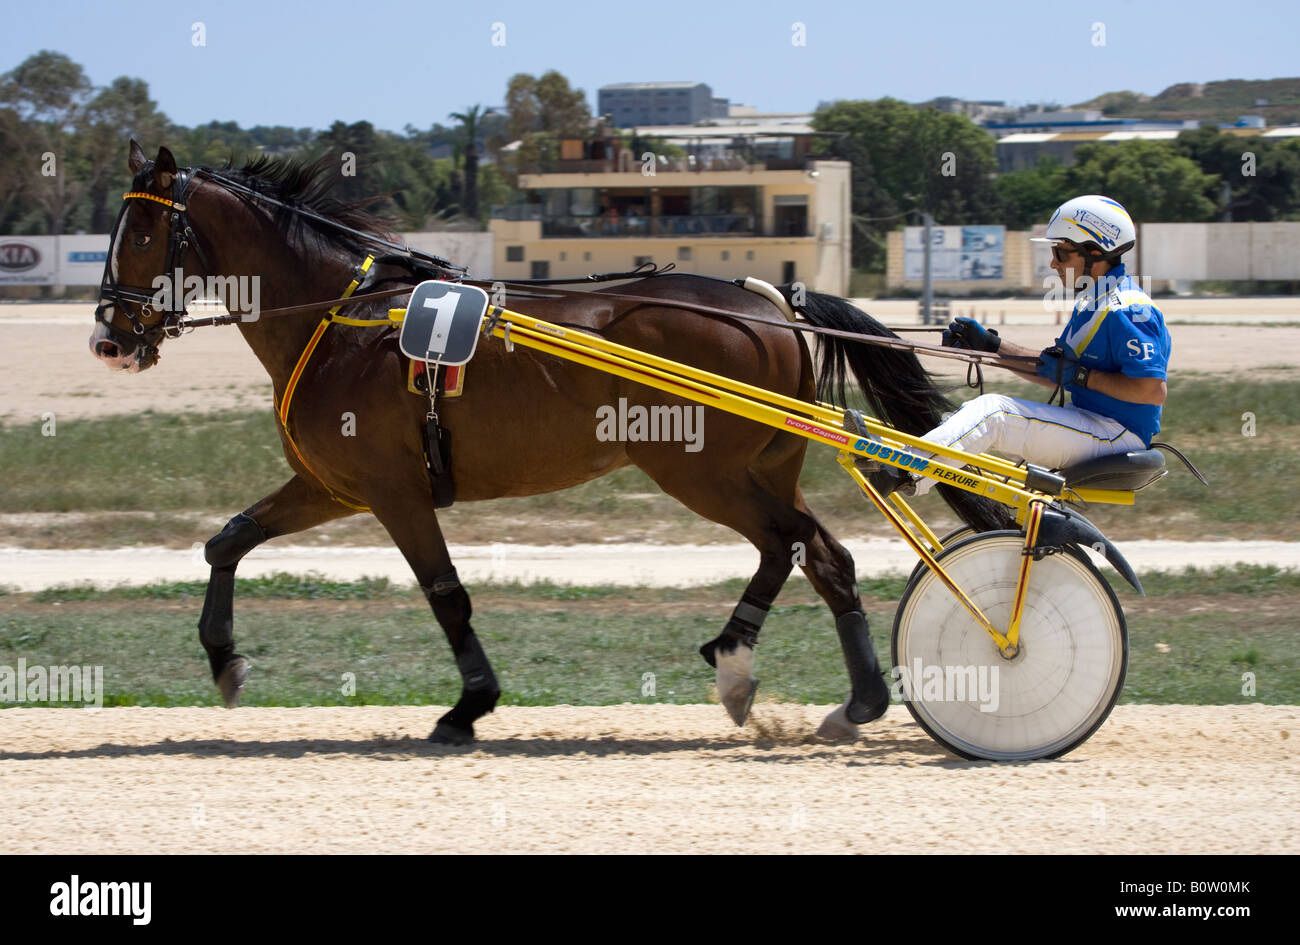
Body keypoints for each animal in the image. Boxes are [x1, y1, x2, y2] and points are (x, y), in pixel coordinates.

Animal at [90, 141, 1008, 744]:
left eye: (141, 233)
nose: (109, 337)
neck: (342, 317)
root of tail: (772, 300)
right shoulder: (335, 484)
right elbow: (227, 540)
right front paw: (223, 659)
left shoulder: (393, 491)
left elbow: (446, 594)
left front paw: (468, 705)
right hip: (759, 466)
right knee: (821, 555)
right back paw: (846, 697)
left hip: (699, 470)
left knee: (788, 544)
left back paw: (742, 661)